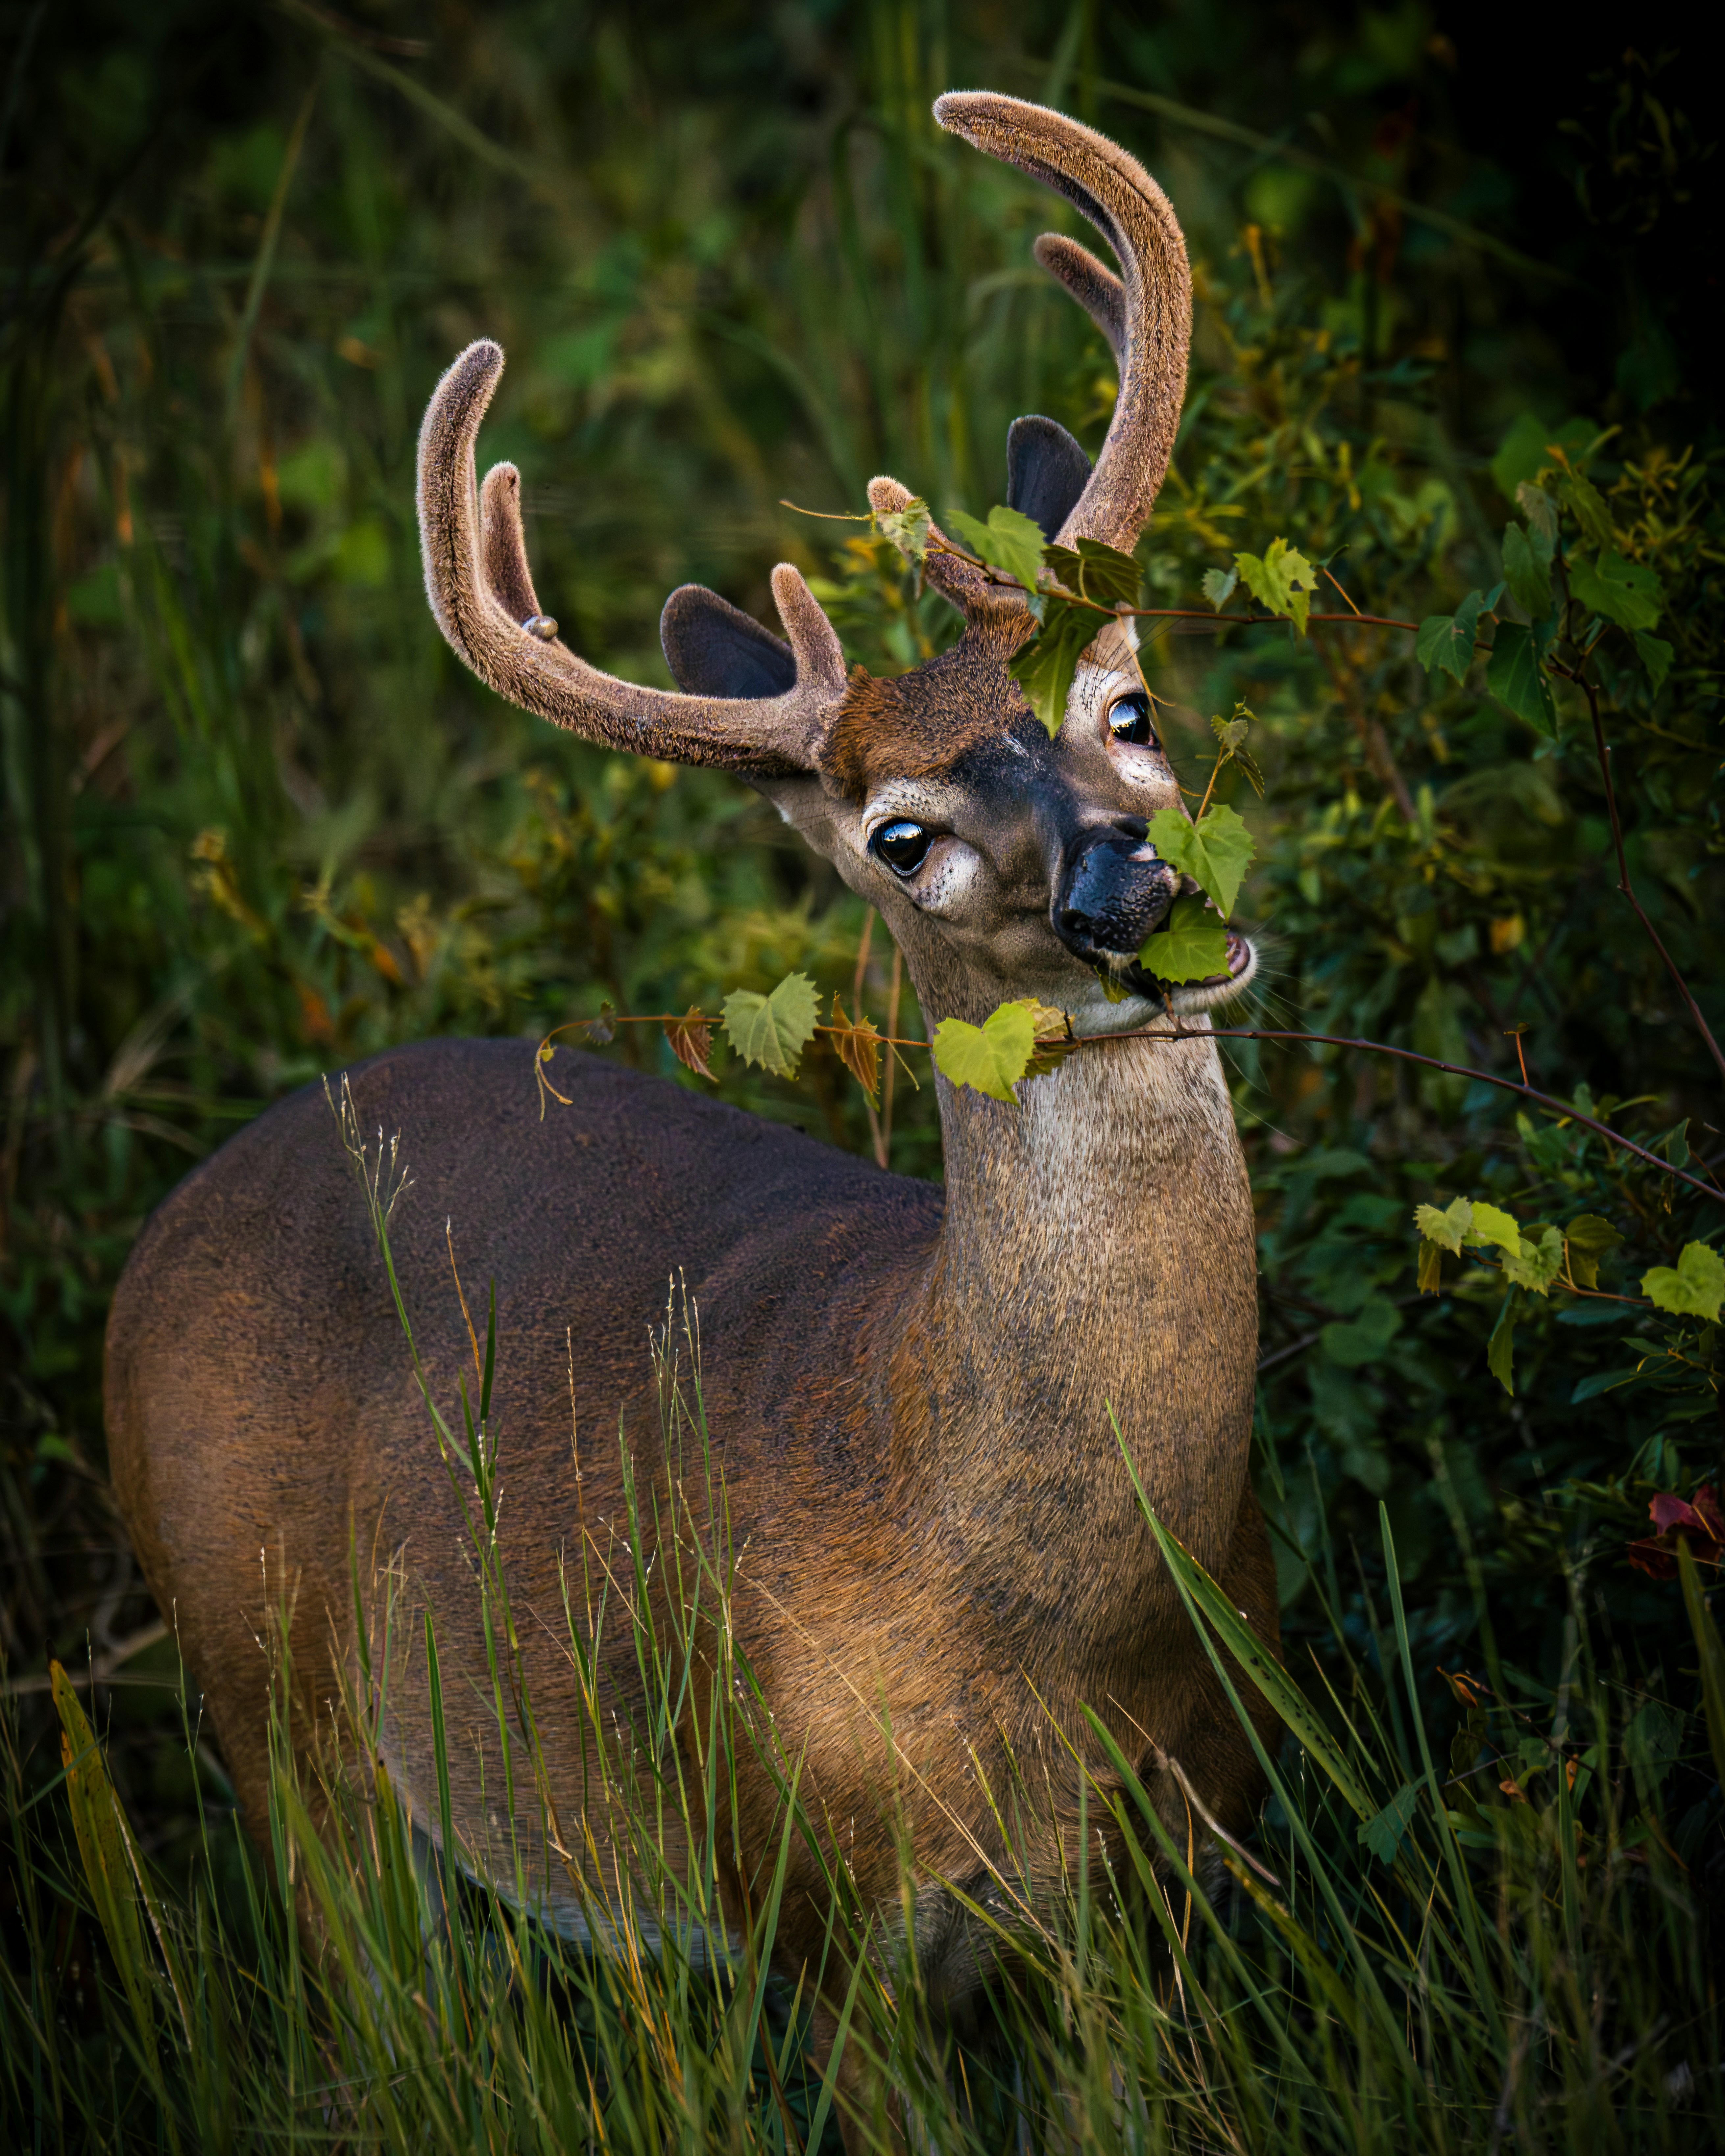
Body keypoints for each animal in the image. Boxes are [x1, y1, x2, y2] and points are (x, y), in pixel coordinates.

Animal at [106, 91, 1278, 2140]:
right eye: (897, 834)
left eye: (1127, 704)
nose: (1134, 903)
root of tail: (163, 1228)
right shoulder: (802, 1907)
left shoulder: (1158, 1874)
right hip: (277, 1708)